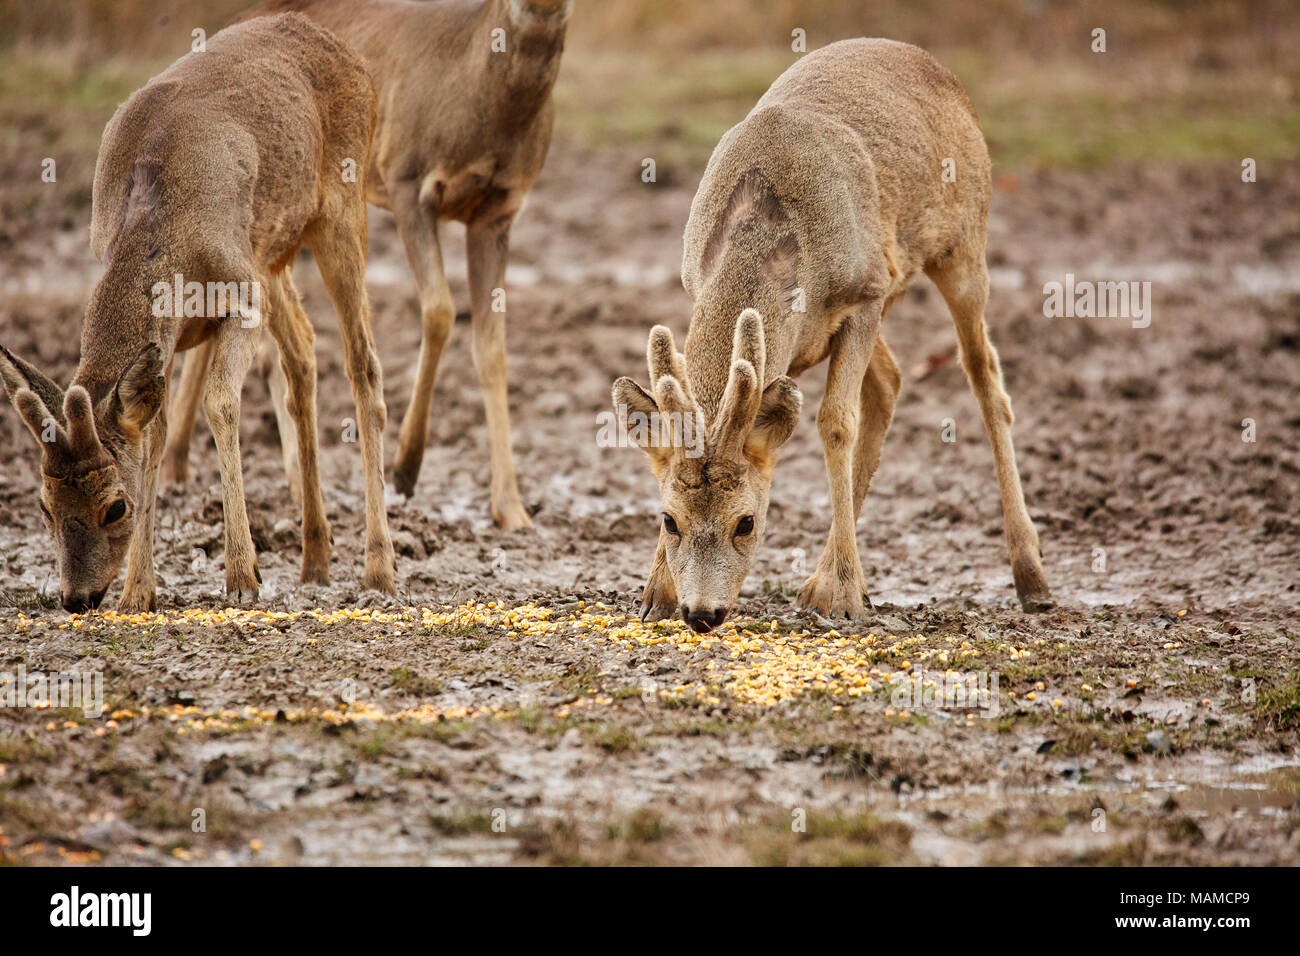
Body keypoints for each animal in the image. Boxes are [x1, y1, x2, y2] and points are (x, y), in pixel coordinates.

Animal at [0, 12, 395, 613]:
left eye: (115, 505)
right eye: (43, 505)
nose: (77, 597)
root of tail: (342, 48)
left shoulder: (242, 296)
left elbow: (219, 402)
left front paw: (243, 575)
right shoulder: (179, 334)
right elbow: (156, 433)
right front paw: (137, 594)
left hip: (340, 212)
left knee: (363, 365)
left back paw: (379, 569)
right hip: (272, 252)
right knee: (302, 353)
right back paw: (315, 558)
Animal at [161, 0, 575, 531]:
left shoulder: (498, 213)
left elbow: (493, 350)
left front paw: (512, 508)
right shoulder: (407, 178)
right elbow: (440, 311)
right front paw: (405, 466)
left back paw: (181, 466)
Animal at [611, 38, 1054, 633]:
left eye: (747, 522)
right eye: (668, 519)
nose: (702, 613)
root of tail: (929, 62)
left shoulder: (865, 293)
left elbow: (836, 422)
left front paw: (842, 593)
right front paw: (654, 592)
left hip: (963, 245)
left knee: (985, 376)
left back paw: (1031, 577)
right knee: (892, 380)